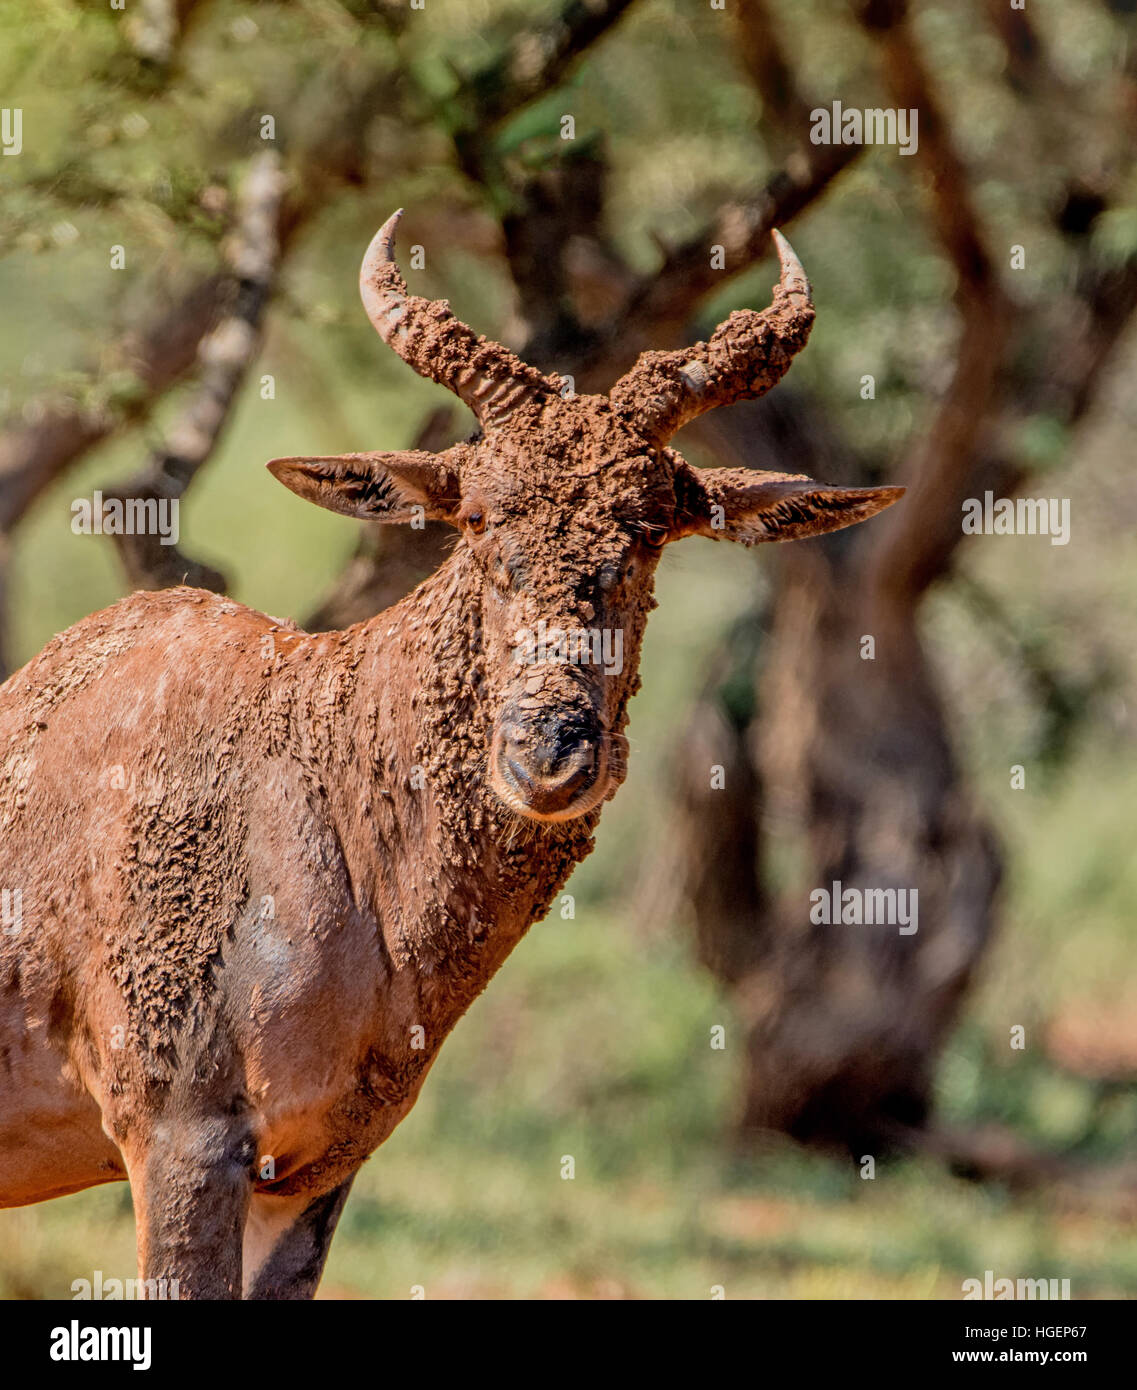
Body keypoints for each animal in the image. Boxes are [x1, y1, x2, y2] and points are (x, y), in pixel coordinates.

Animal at [0, 212, 901, 1298]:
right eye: (476, 517)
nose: (550, 753)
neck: (310, 762)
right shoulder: (179, 1141)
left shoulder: (311, 1172)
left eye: (652, 528)